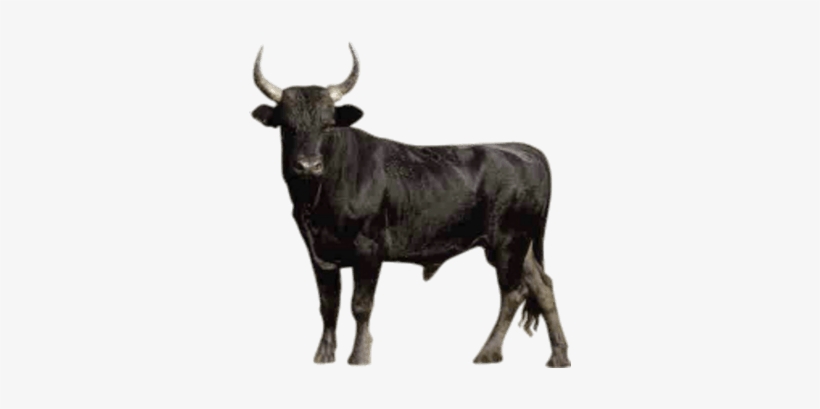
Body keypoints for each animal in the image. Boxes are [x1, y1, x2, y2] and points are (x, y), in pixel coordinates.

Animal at [251, 44, 570, 367]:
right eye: (287, 126)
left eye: (328, 125)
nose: (308, 165)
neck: (316, 200)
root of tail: (521, 148)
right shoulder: (318, 252)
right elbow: (328, 304)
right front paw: (324, 356)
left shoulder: (369, 249)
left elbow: (360, 305)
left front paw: (359, 356)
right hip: (523, 245)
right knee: (543, 286)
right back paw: (558, 357)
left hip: (507, 242)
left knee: (513, 292)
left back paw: (488, 353)